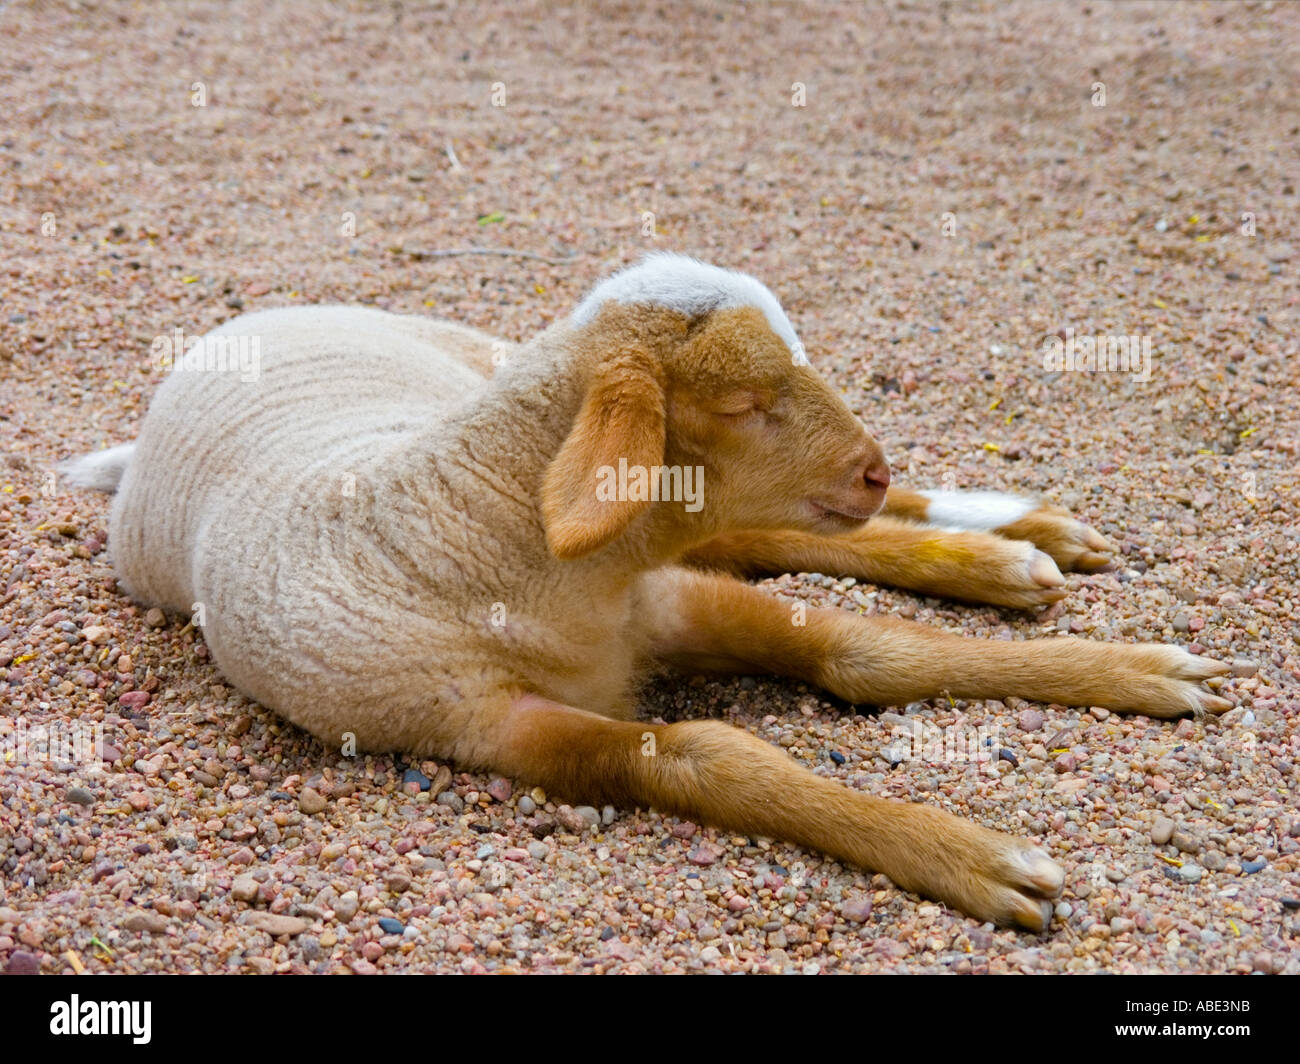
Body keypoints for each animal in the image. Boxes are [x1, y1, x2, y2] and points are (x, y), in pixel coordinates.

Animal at [62, 253, 1230, 930]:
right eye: (745, 401)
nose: (872, 469)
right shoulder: (483, 724)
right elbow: (714, 755)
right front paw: (974, 858)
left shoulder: (664, 597)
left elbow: (862, 649)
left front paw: (1136, 669)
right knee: (759, 534)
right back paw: (1003, 542)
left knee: (767, 535)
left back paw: (1016, 535)